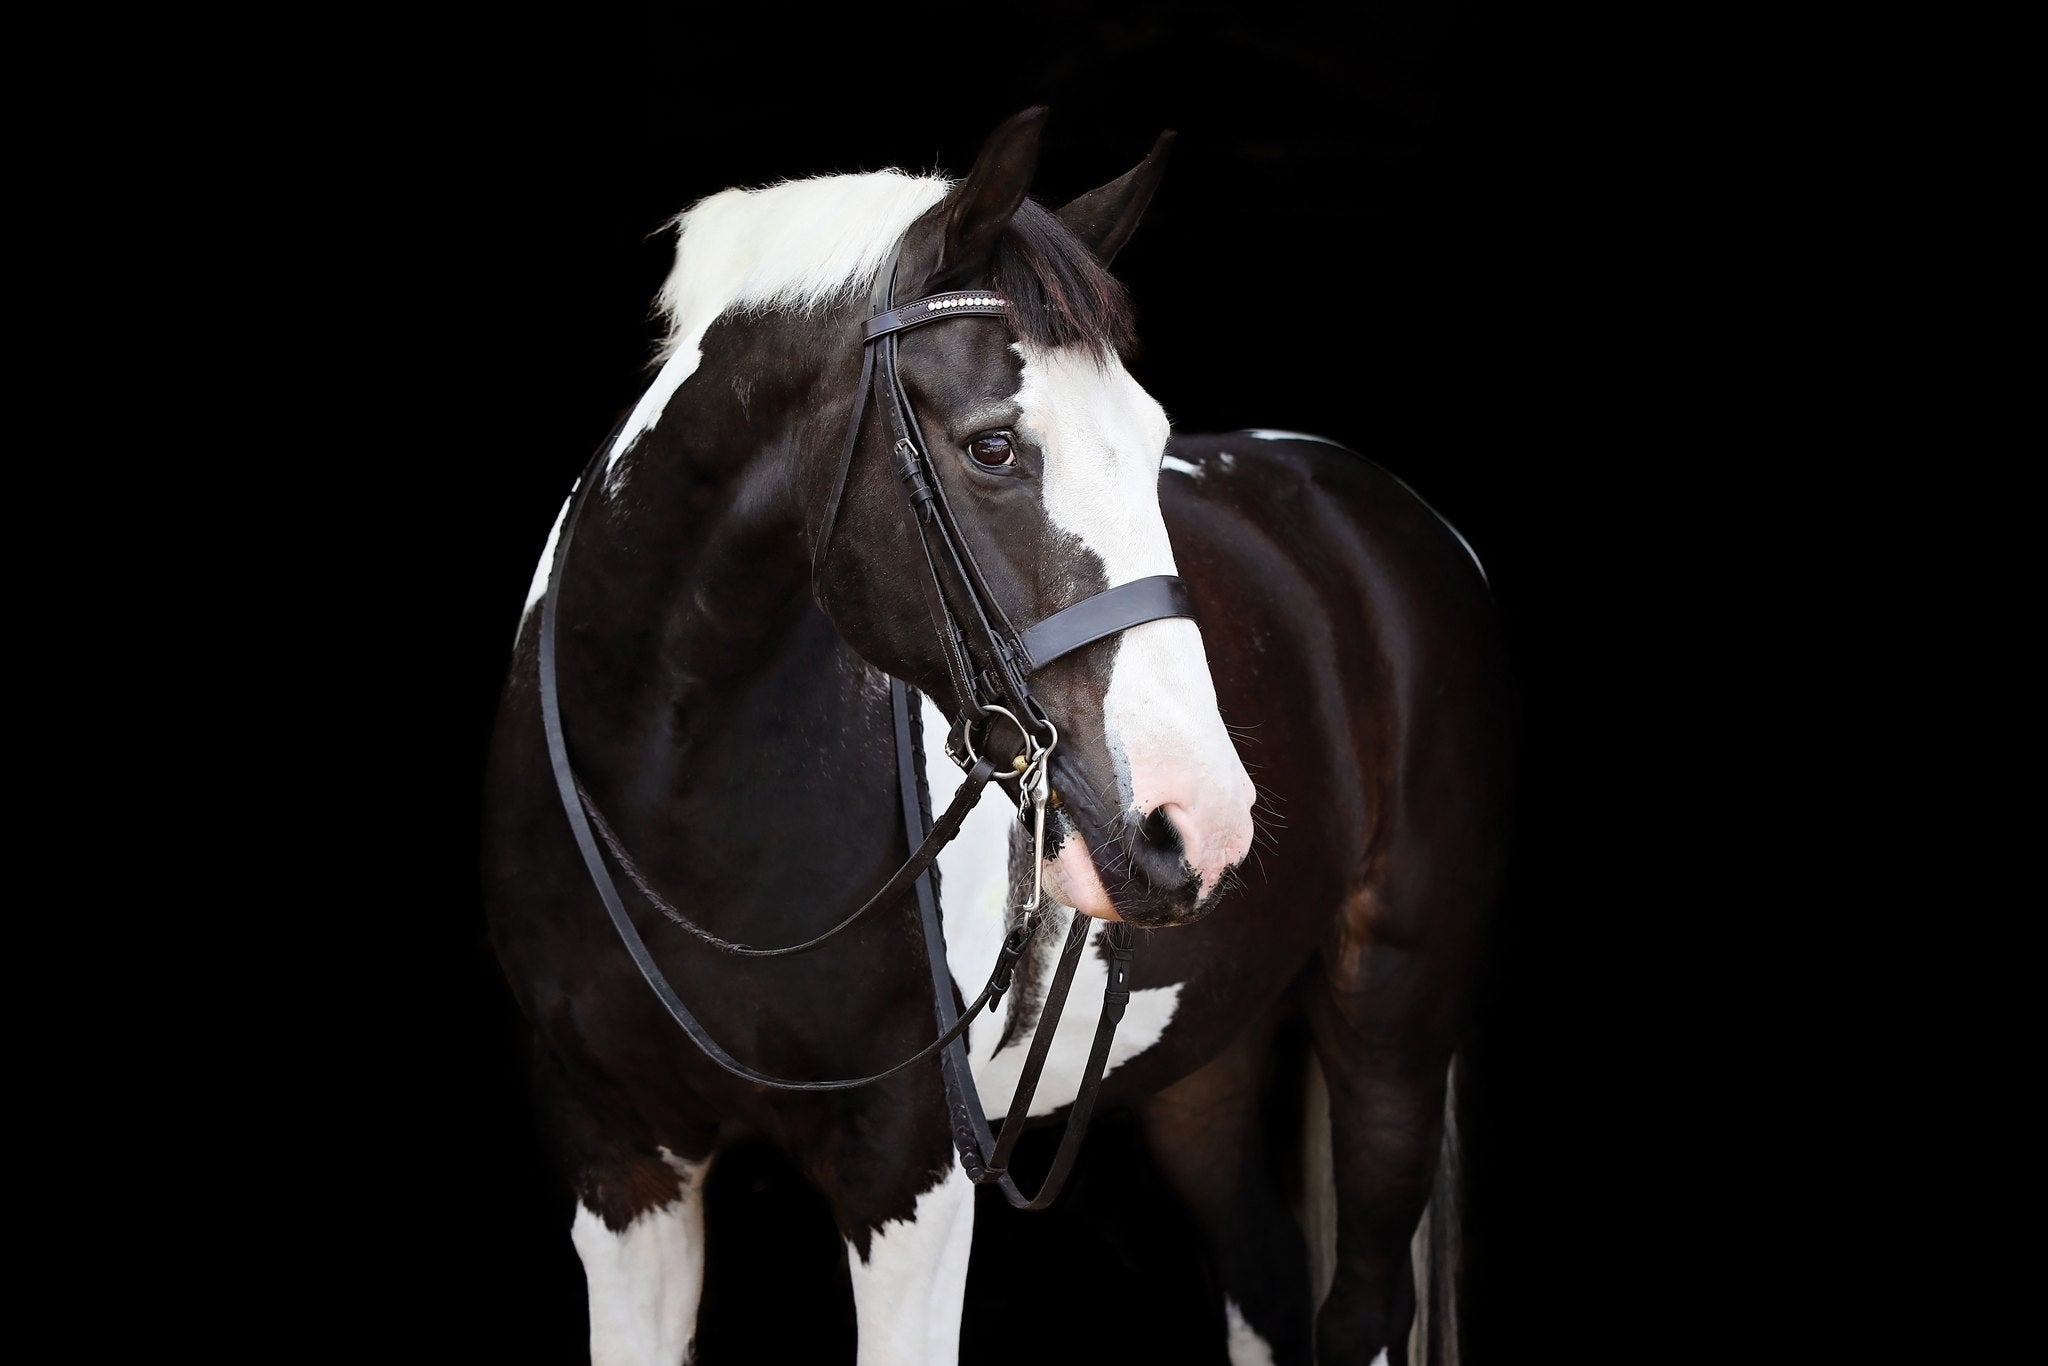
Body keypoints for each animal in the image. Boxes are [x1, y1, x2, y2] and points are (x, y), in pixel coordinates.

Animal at [481, 106, 1515, 1365]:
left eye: (1153, 438)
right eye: (989, 447)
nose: (1201, 823)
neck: (678, 788)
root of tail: (1379, 512)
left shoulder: (909, 1178)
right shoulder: (619, 1163)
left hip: (1393, 1020)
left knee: (1359, 1304)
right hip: (1201, 1063)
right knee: (1264, 1284)